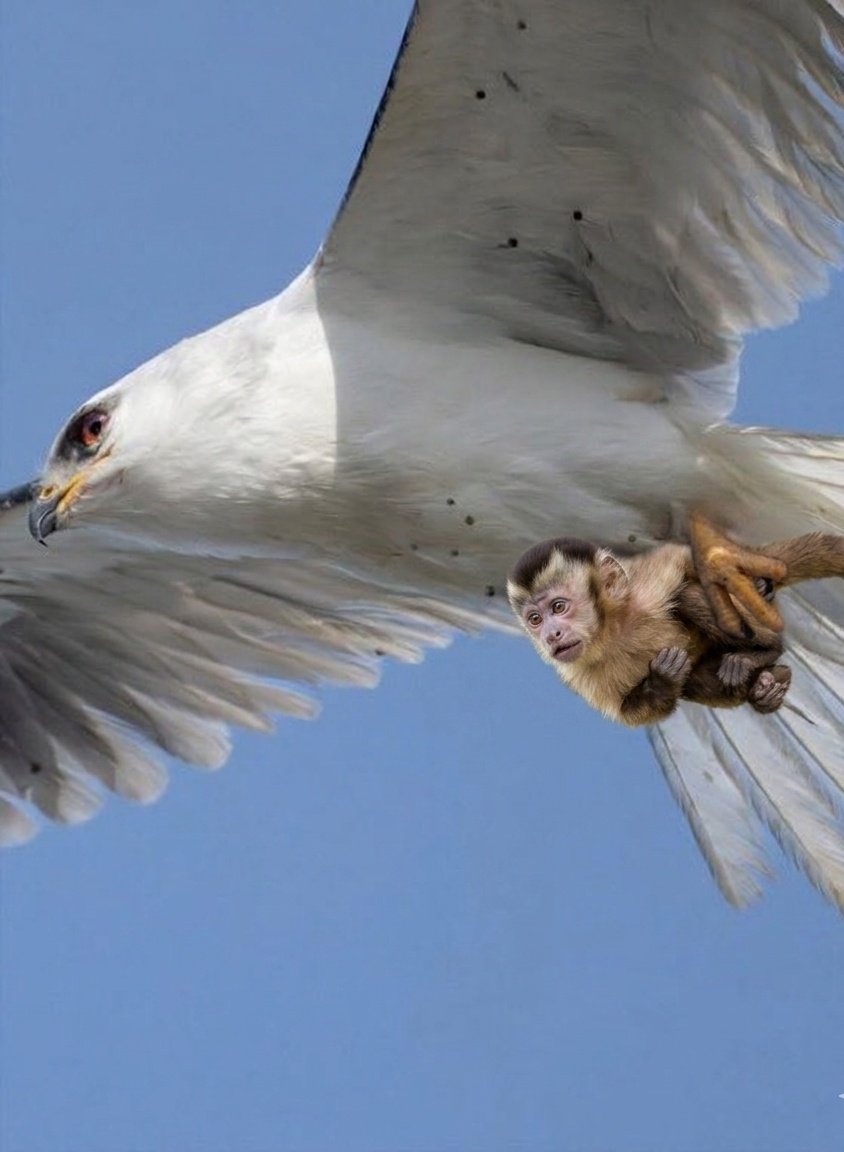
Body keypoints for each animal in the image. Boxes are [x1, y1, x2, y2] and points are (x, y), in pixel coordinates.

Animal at [506, 531, 844, 727]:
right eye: (535, 619)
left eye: (558, 607)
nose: (551, 635)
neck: (613, 629)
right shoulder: (580, 673)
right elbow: (632, 713)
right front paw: (662, 680)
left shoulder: (647, 585)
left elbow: (688, 559)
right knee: (694, 679)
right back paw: (771, 686)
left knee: (687, 594)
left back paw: (765, 650)